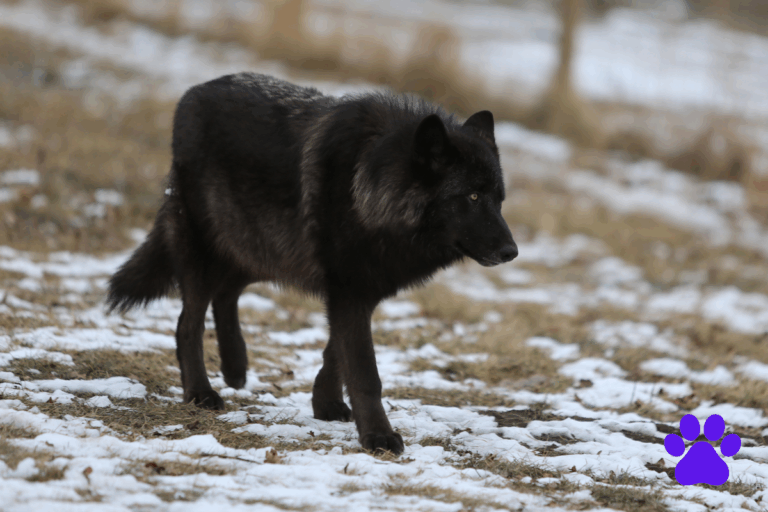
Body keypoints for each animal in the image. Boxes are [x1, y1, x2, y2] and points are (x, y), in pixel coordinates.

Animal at [107, 73, 518, 455]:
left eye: (499, 199)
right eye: (473, 196)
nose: (511, 251)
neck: (370, 188)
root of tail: (193, 91)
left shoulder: (357, 288)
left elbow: (336, 351)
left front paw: (326, 403)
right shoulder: (350, 289)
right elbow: (365, 372)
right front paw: (378, 436)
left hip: (260, 246)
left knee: (226, 293)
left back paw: (235, 367)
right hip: (210, 250)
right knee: (187, 324)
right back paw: (200, 392)